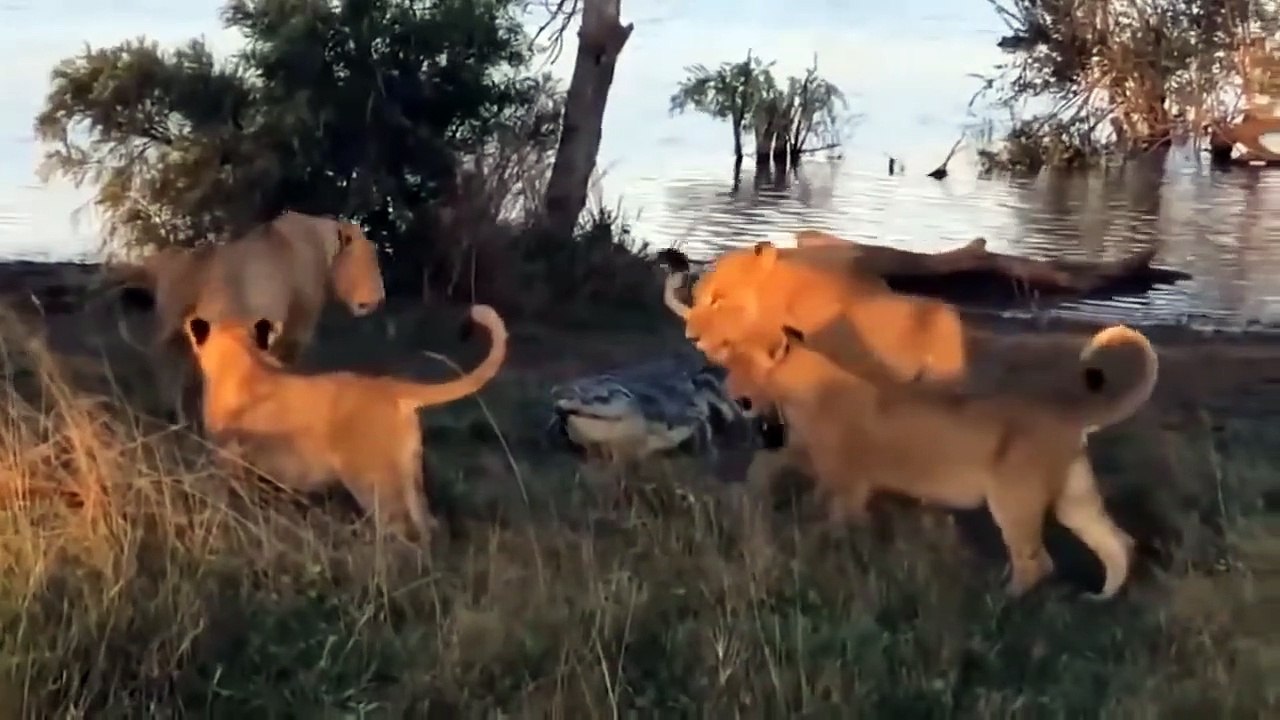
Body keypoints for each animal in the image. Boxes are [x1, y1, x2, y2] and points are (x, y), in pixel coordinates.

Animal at [109, 211, 387, 423]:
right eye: (370, 257)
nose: (381, 298)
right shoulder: (296, 329)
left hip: (174, 333)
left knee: (169, 371)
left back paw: (175, 421)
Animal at [182, 304, 508, 541]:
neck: (243, 357)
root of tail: (391, 387)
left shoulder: (226, 458)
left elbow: (222, 499)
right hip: (409, 475)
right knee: (428, 524)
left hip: (372, 480)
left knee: (399, 527)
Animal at [721, 318, 1156, 599]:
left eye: (740, 365)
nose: (735, 396)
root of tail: (1067, 412)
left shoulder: (845, 484)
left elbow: (825, 523)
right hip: (1073, 499)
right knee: (1119, 542)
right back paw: (1101, 599)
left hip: (1013, 498)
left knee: (1037, 562)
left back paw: (1002, 600)